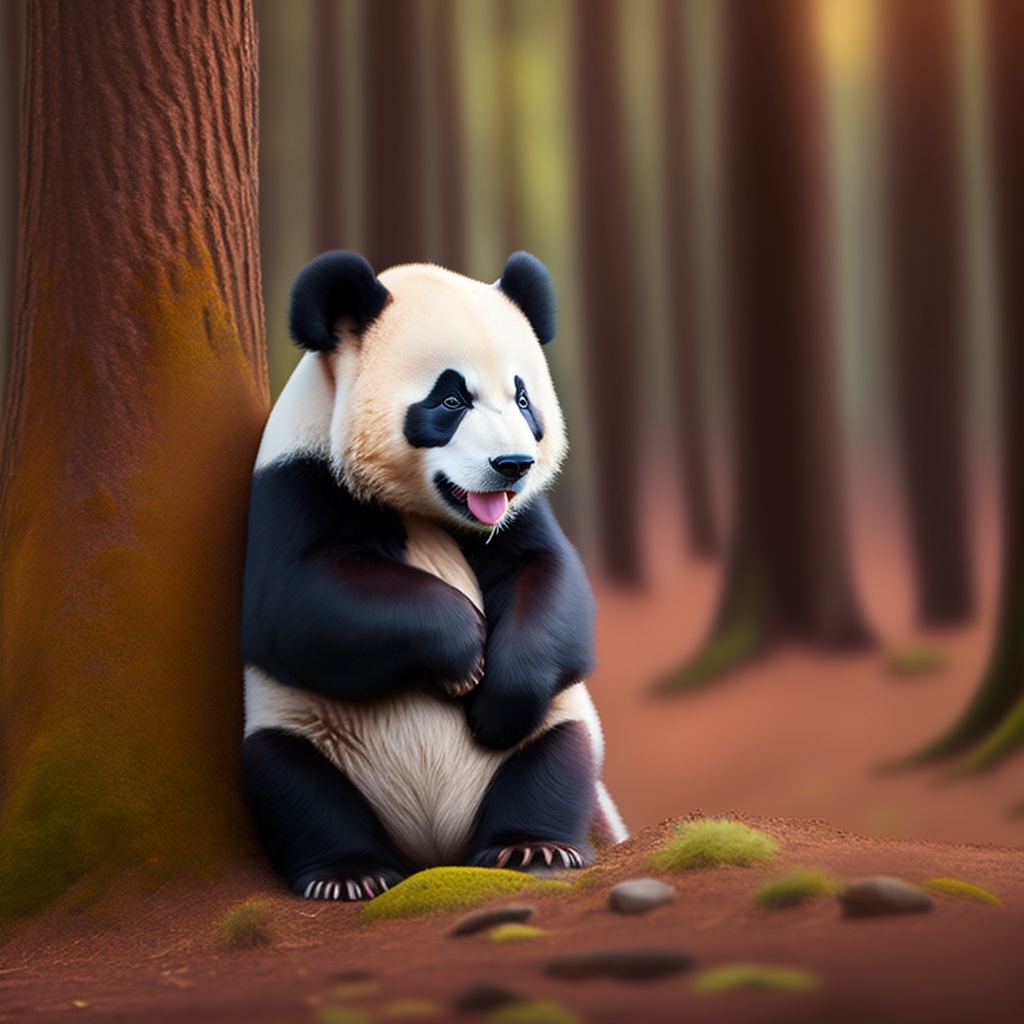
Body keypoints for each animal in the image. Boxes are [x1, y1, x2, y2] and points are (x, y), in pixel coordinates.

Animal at [241, 250, 628, 901]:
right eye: (451, 401)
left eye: (523, 400)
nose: (512, 464)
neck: (420, 507)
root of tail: (433, 850)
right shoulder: (293, 483)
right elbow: (294, 607)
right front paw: (461, 652)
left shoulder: (518, 519)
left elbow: (552, 585)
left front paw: (493, 703)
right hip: (305, 732)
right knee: (289, 781)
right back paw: (350, 873)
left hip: (560, 725)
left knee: (558, 760)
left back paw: (532, 846)